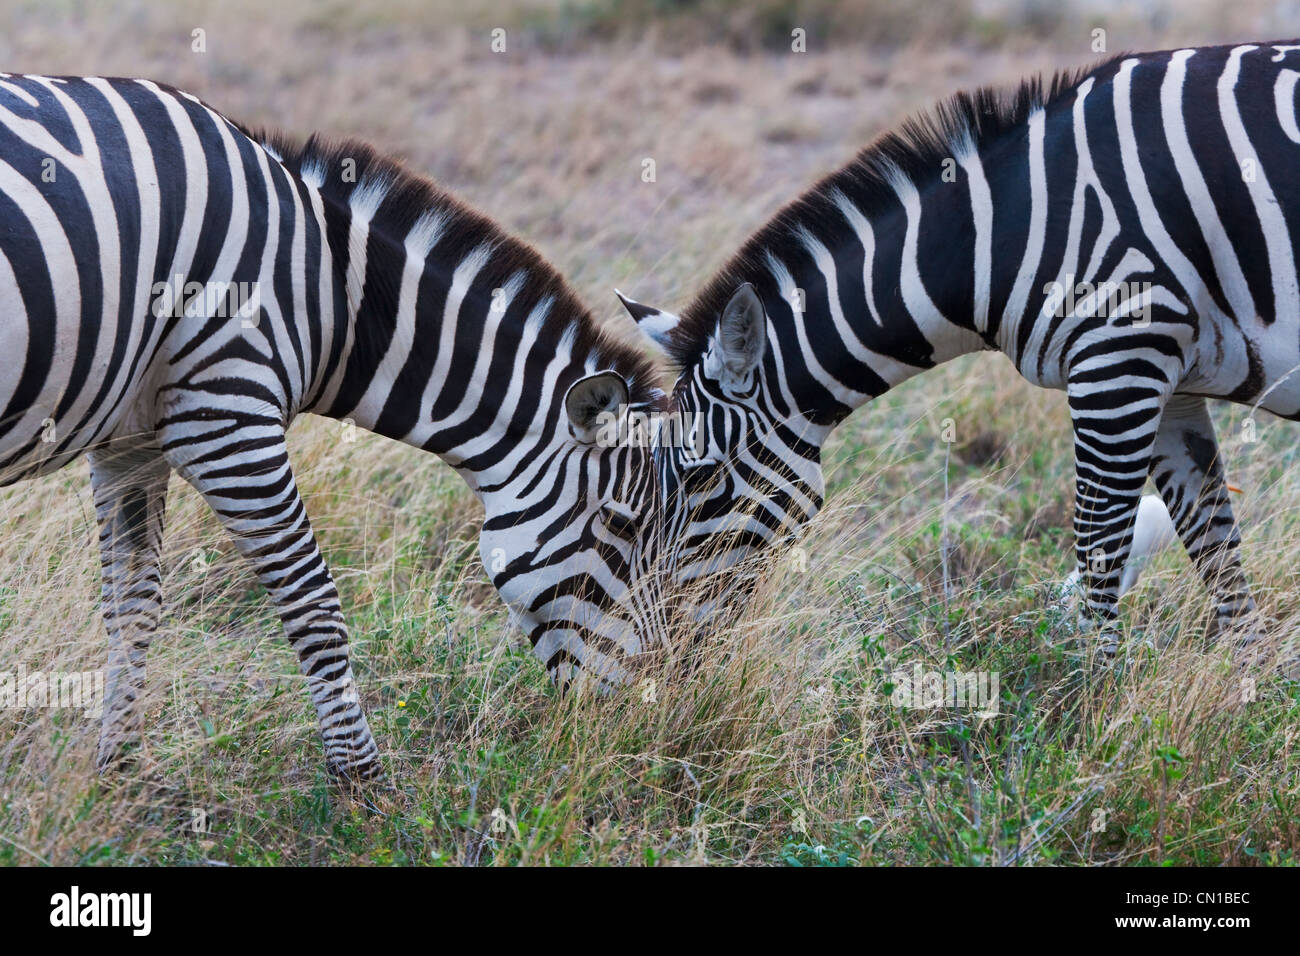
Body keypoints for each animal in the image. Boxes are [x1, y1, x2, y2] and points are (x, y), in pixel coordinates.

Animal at [0, 74, 666, 780]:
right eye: (623, 528)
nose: (639, 719)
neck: (331, 291)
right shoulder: (226, 413)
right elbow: (314, 602)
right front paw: (363, 779)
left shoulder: (131, 440)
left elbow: (133, 602)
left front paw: (119, 770)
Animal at [620, 41, 1300, 658]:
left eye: (701, 477)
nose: (665, 646)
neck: (1004, 231)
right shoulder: (1169, 381)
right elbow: (1213, 543)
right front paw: (1246, 683)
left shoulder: (1120, 359)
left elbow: (1099, 543)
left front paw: (1096, 698)